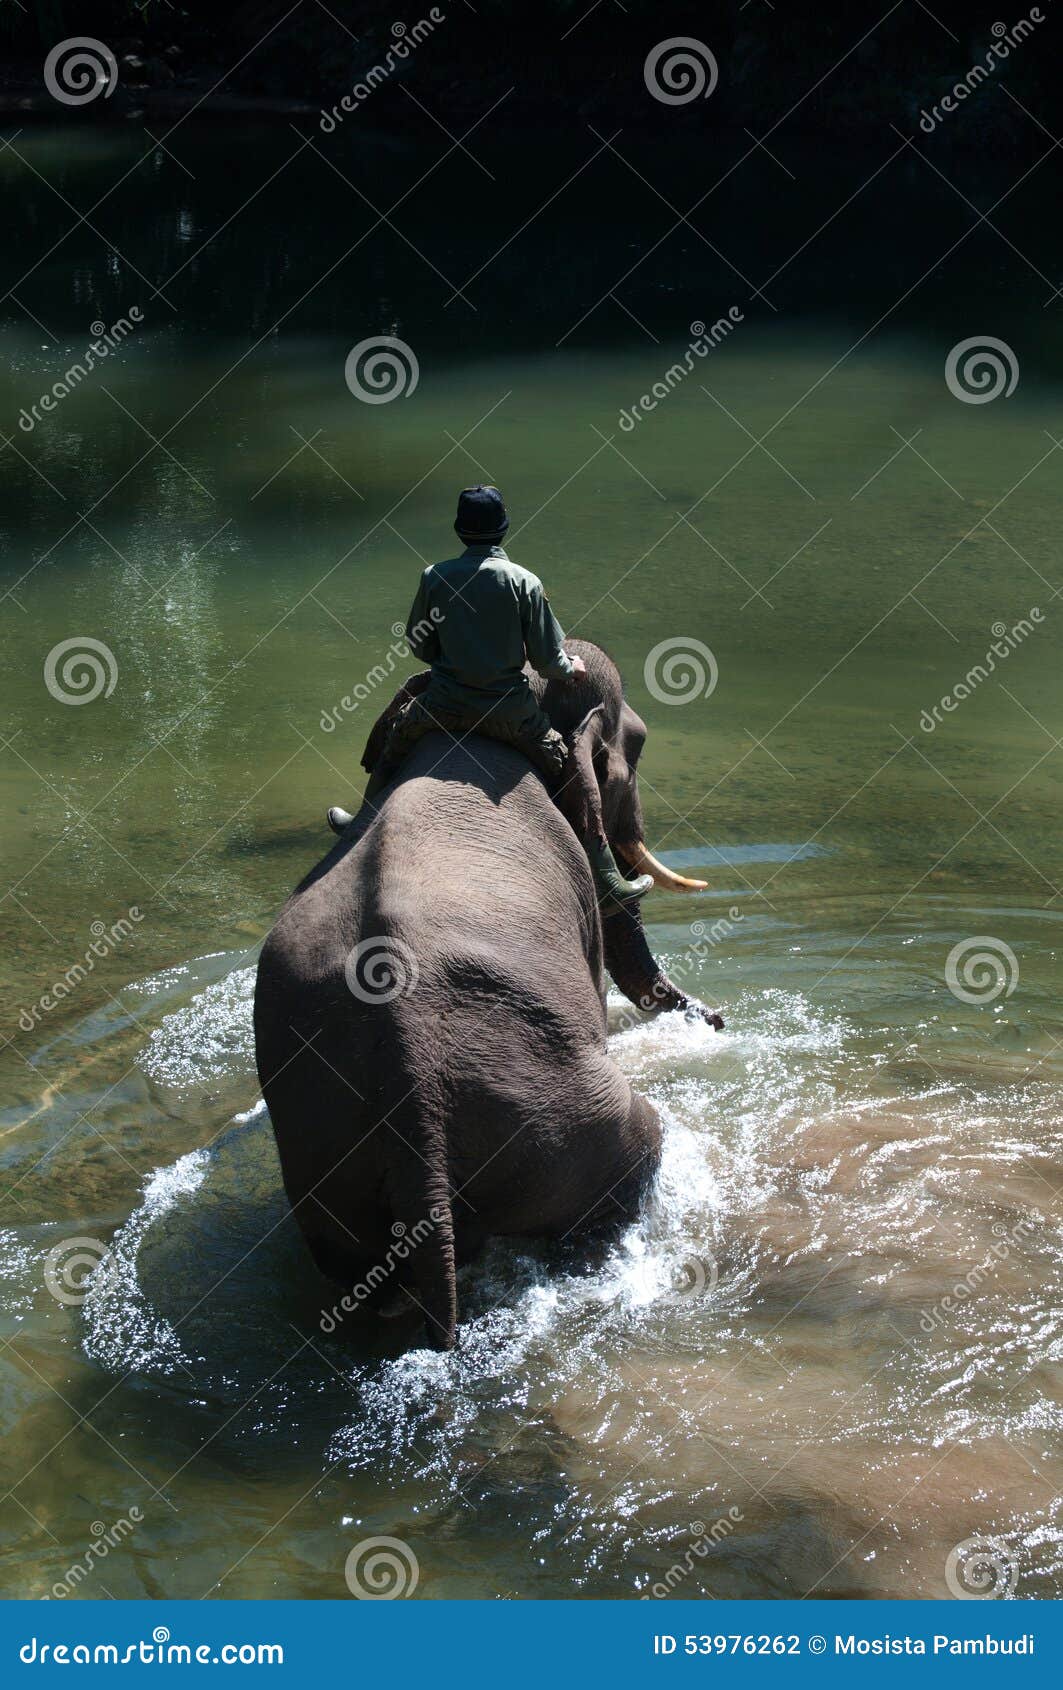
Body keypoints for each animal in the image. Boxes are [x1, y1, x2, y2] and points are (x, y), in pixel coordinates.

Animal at [253, 640, 723, 1351]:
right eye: (636, 749)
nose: (717, 1020)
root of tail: (408, 1084)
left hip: (321, 1157)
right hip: (568, 1118)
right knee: (638, 1148)